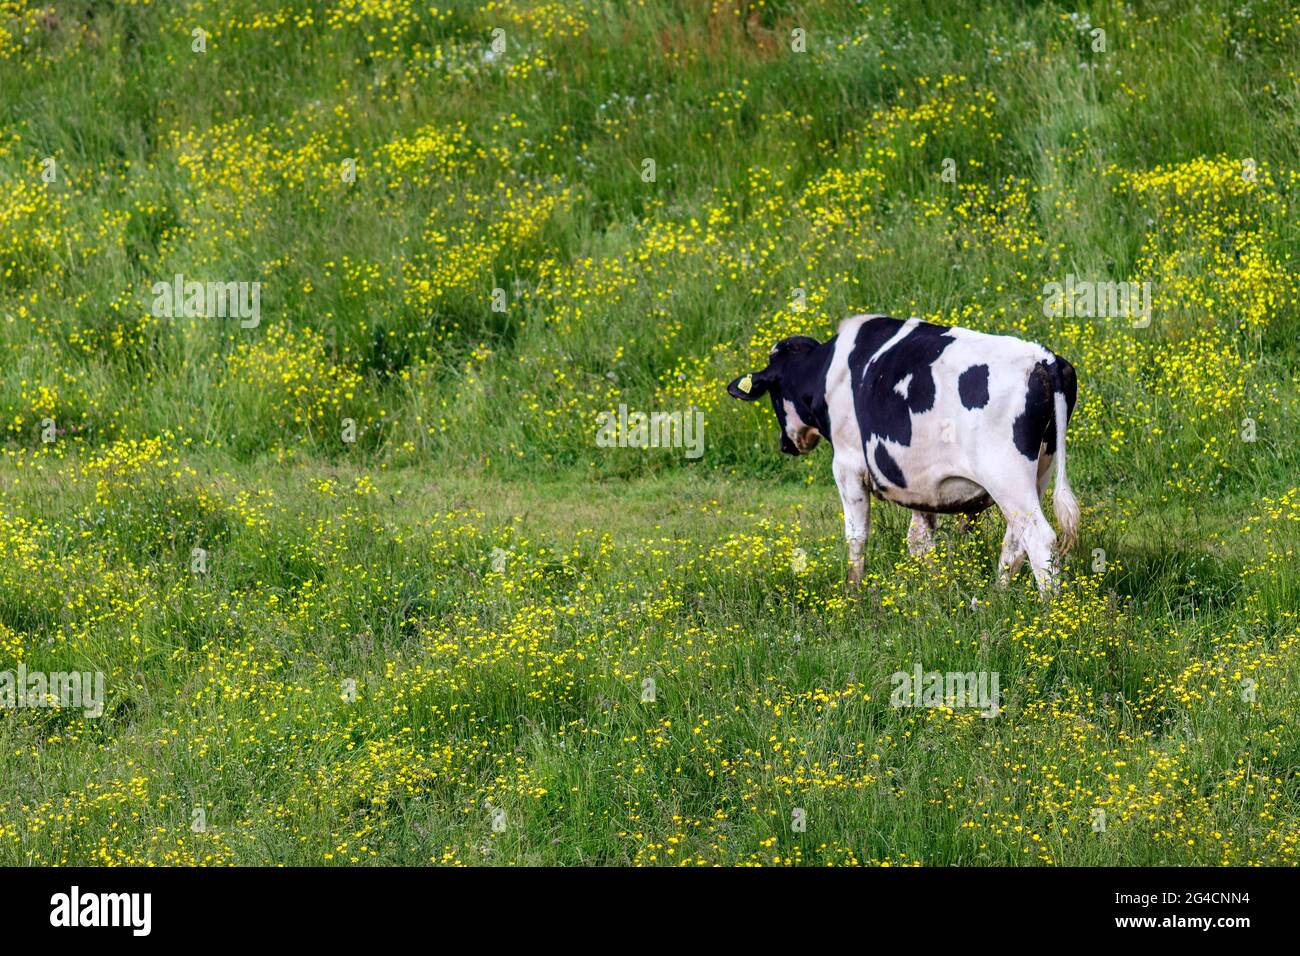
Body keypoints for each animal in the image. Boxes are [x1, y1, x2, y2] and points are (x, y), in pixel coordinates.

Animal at [727, 314, 1079, 593]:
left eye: (773, 393)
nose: (786, 443)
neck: (829, 372)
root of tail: (1043, 358)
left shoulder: (847, 464)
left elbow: (856, 536)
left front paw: (852, 594)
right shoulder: (924, 483)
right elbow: (920, 541)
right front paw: (933, 589)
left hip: (1007, 477)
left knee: (1039, 539)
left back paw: (1049, 613)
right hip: (1039, 473)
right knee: (1015, 542)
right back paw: (997, 598)